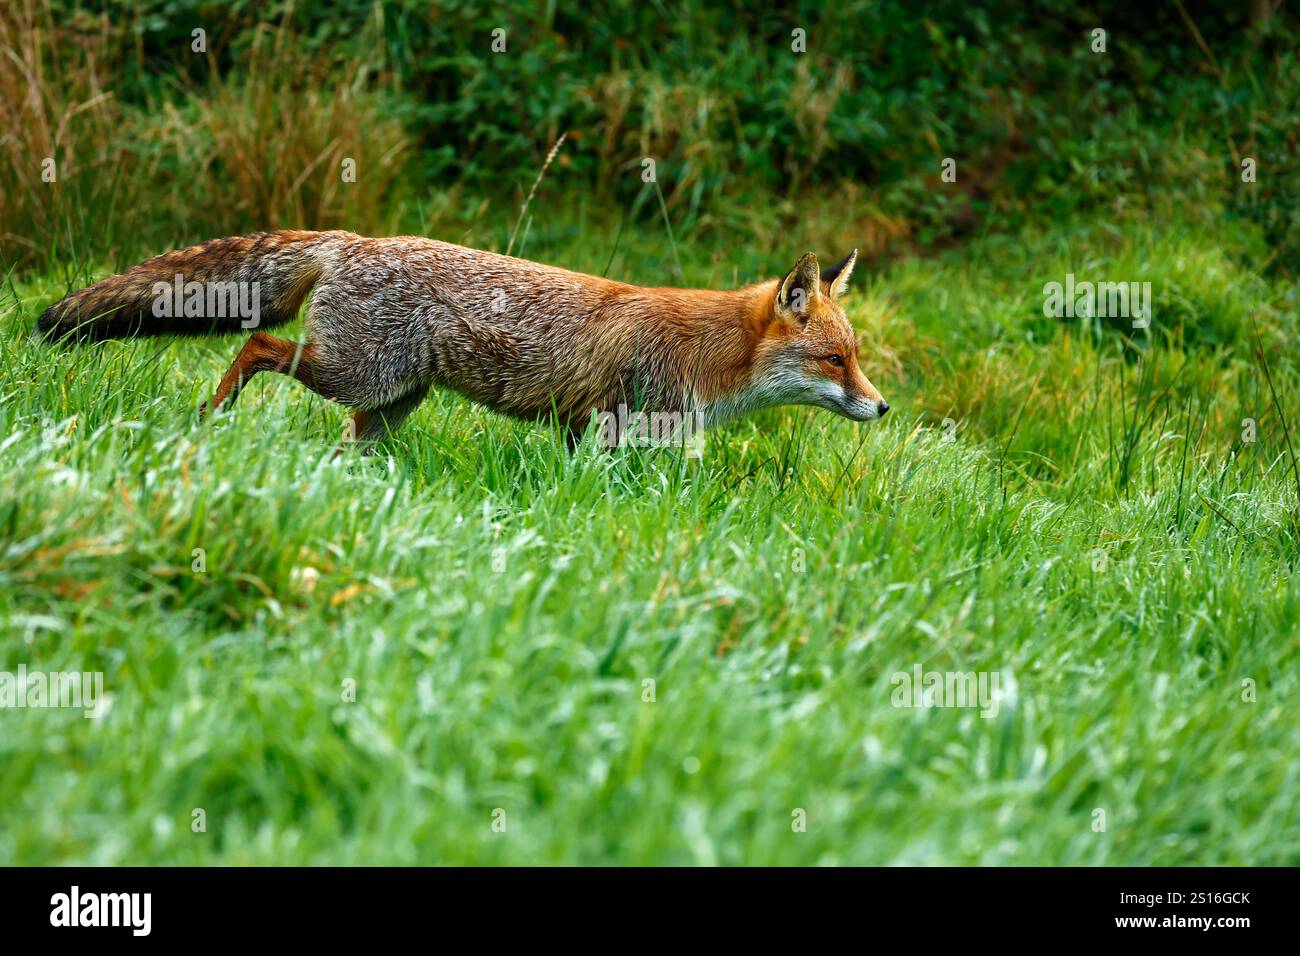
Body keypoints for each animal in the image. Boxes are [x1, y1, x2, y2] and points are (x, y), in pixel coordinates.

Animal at [37, 231, 889, 451]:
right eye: (836, 360)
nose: (882, 407)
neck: (714, 357)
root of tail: (352, 239)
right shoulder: (618, 428)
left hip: (392, 402)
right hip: (356, 375)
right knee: (256, 350)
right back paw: (211, 417)